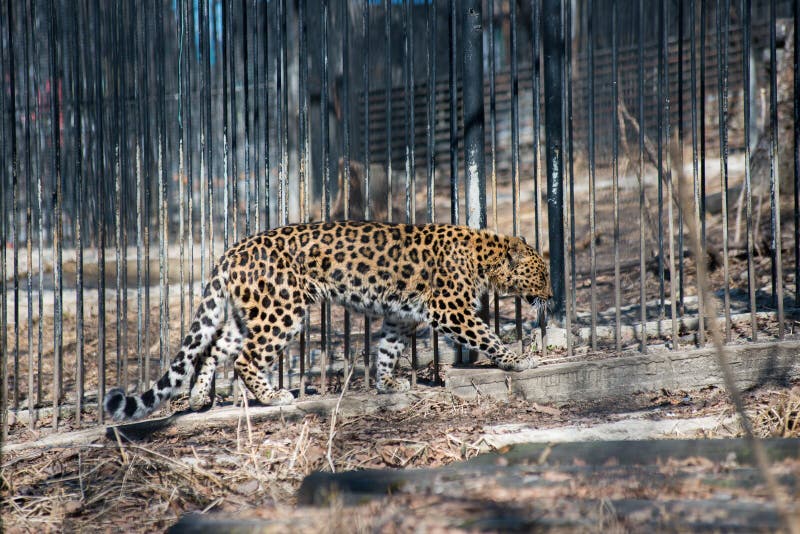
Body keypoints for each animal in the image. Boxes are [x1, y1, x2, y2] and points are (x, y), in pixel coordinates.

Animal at [104, 220, 552, 421]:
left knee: (214, 348)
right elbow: (486, 334)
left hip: (249, 313)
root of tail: (233, 250)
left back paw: (199, 398)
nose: (551, 296)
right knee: (246, 358)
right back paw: (274, 397)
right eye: (542, 274)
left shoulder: (398, 316)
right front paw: (516, 360)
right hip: (282, 310)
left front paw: (387, 384)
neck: (485, 257)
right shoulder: (450, 309)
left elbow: (387, 350)